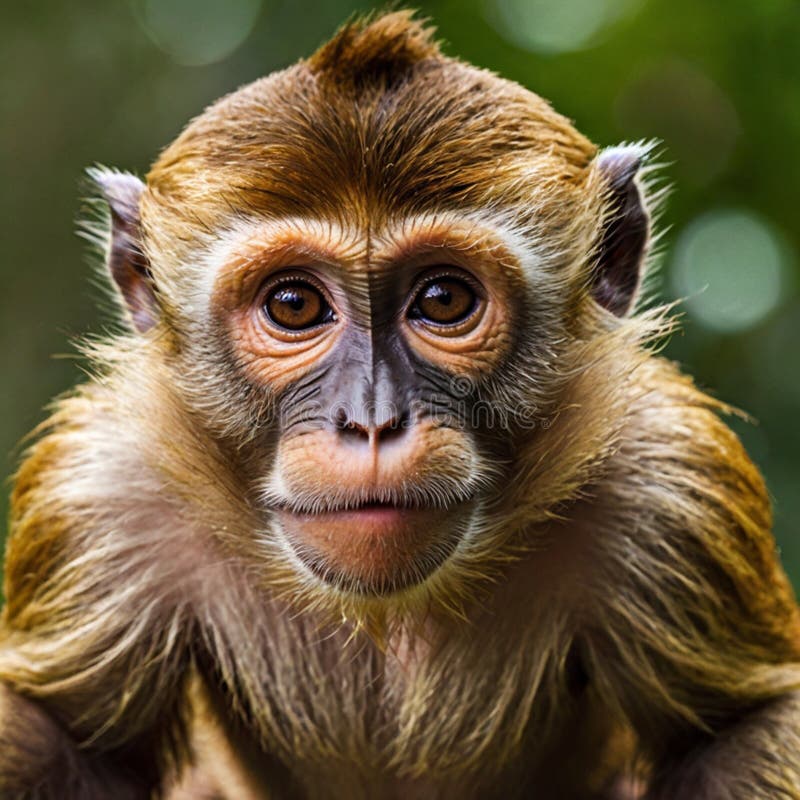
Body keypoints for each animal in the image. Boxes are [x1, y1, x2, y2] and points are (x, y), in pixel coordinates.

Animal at [1, 9, 799, 799]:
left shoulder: (671, 484)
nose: (373, 420)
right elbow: (50, 735)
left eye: (443, 298)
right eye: (293, 305)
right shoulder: (100, 492)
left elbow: (748, 726)